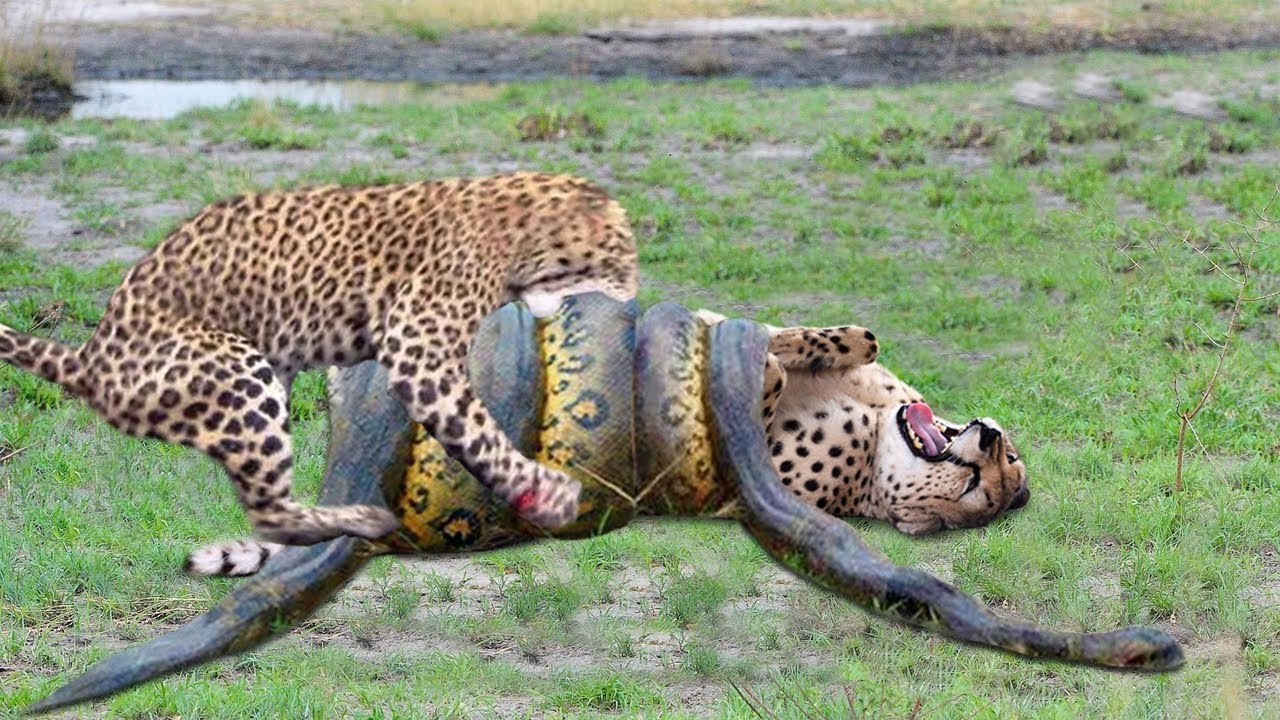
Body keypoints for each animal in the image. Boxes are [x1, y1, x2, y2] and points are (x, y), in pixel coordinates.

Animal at [0, 171, 636, 547]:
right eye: (624, 256)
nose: (636, 297)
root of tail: (90, 356)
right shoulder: (418, 347)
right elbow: (480, 432)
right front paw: (545, 491)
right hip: (238, 370)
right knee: (270, 512)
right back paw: (358, 520)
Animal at [187, 306, 1029, 576]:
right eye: (1006, 461)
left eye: (981, 491)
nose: (988, 435)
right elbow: (774, 342)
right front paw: (827, 340)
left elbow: (752, 380)